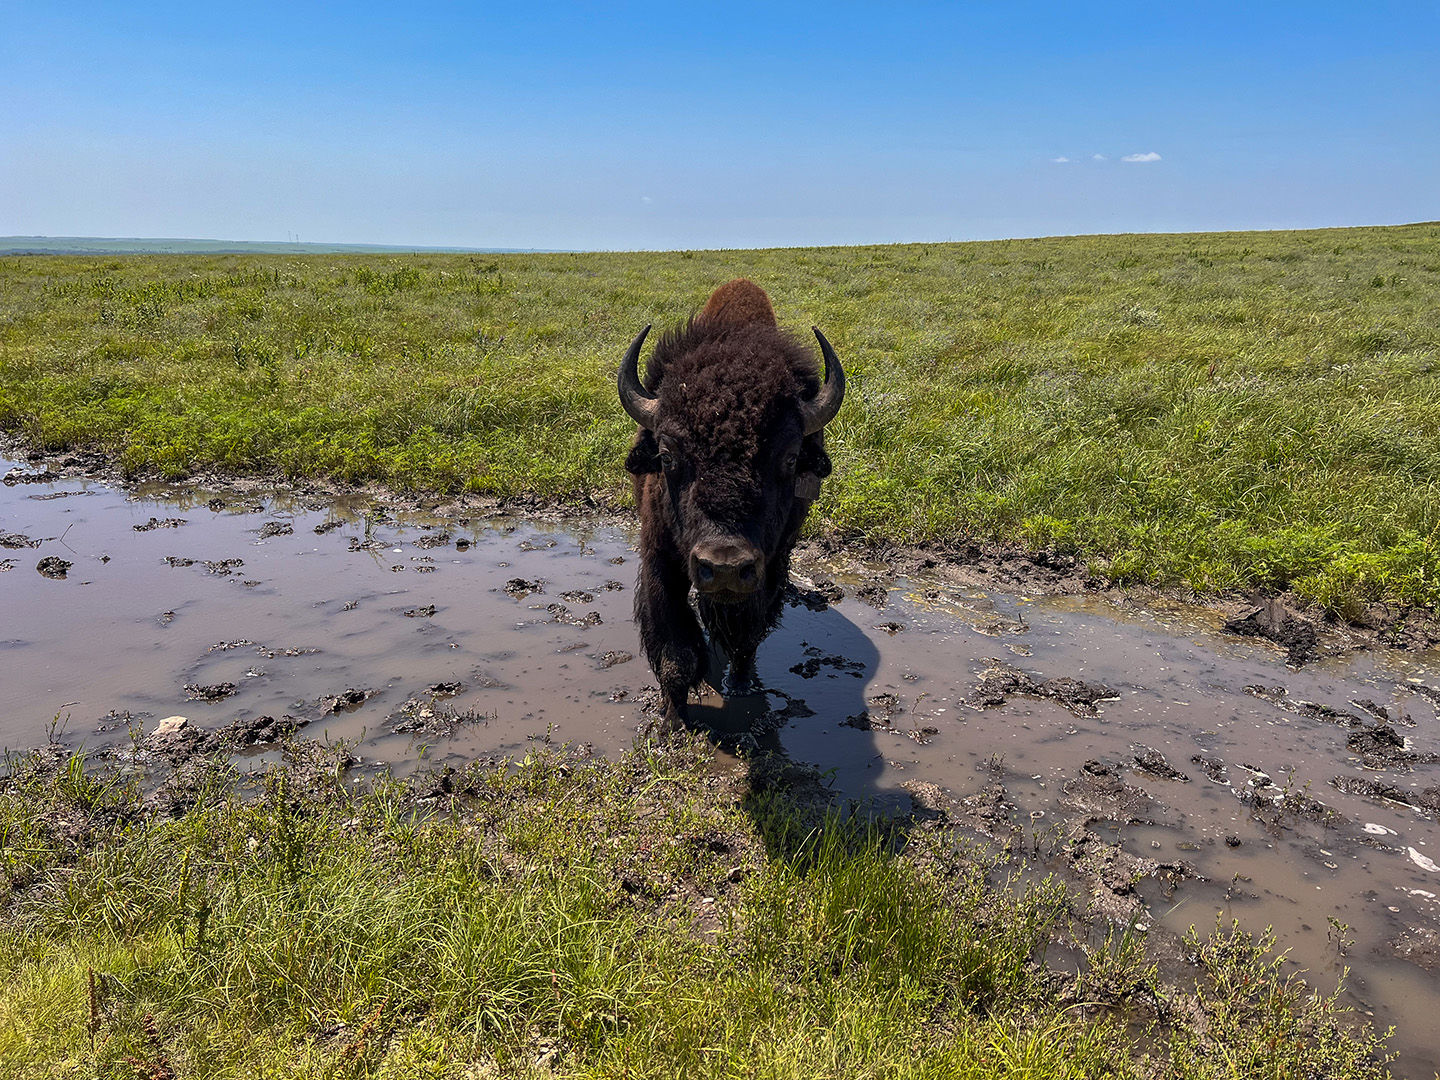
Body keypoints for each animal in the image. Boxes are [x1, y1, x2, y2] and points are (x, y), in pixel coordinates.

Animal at [618, 279, 846, 730]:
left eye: (790, 458)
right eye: (667, 455)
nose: (723, 565)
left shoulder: (770, 565)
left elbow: (748, 633)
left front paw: (741, 686)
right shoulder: (660, 559)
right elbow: (675, 647)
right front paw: (673, 722)